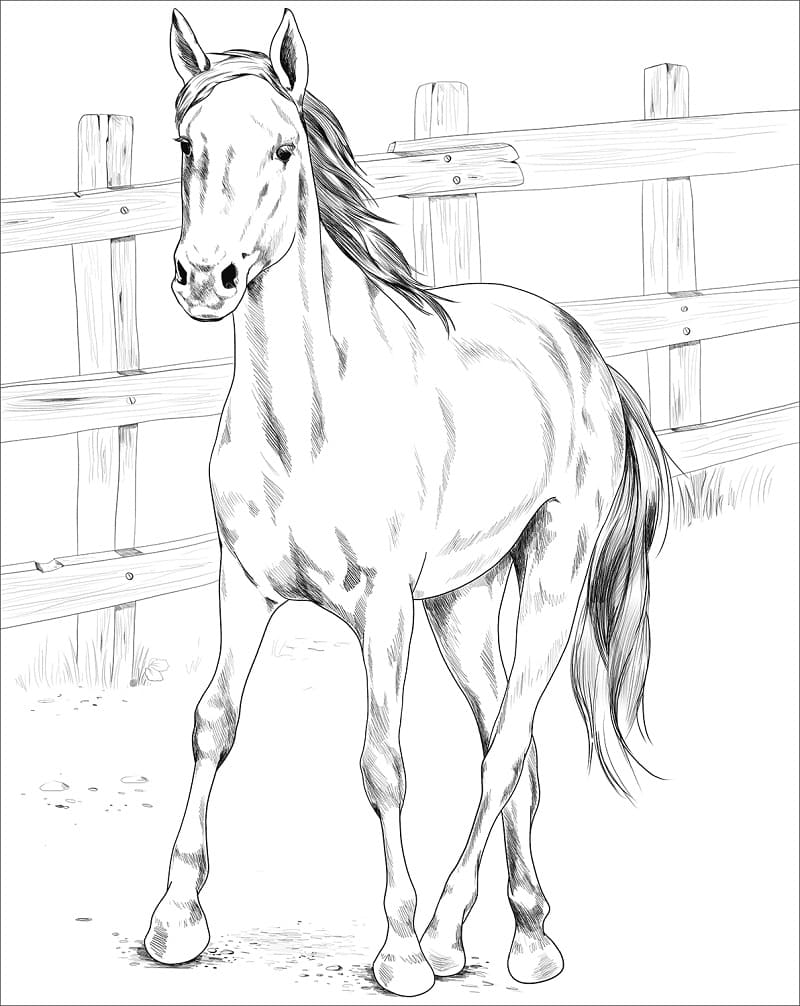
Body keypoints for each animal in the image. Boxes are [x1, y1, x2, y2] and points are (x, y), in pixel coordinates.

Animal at [144, 7, 671, 996]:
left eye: (282, 149)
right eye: (187, 143)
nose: (204, 279)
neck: (308, 421)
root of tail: (587, 354)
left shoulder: (382, 606)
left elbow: (383, 762)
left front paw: (397, 948)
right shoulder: (244, 585)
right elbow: (212, 723)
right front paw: (175, 920)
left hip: (550, 575)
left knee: (507, 747)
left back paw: (448, 933)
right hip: (461, 603)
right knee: (511, 744)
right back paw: (522, 936)